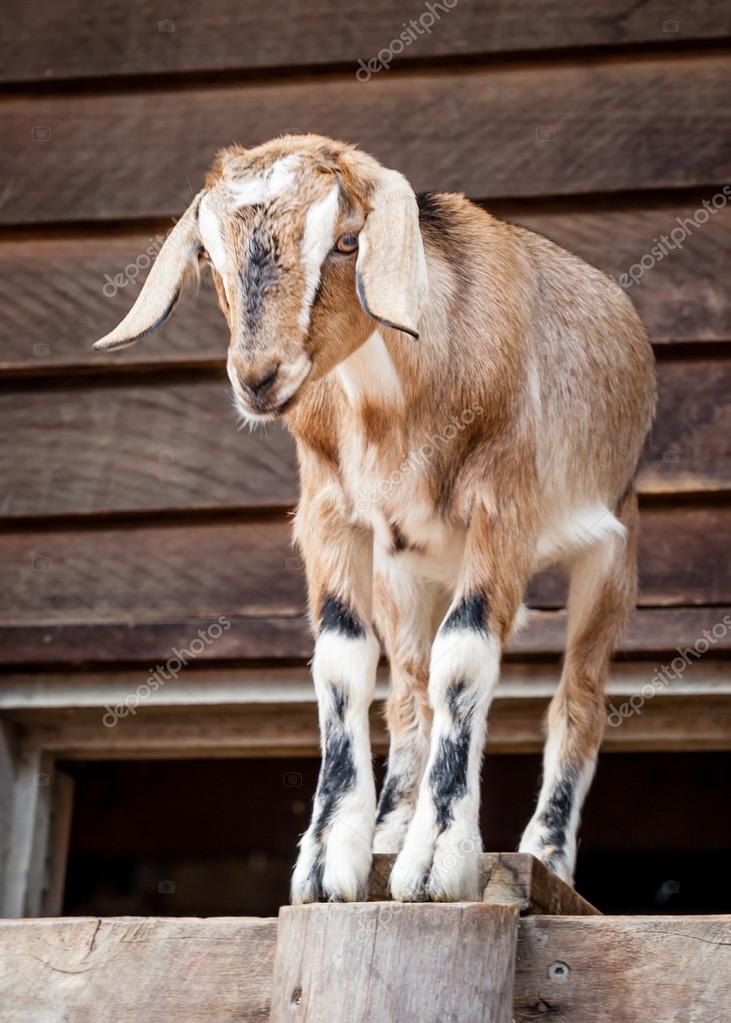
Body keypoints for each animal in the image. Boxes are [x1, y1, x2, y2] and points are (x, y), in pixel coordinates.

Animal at [94, 134, 656, 904]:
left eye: (347, 240)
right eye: (206, 253)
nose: (259, 378)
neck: (393, 406)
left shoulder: (502, 510)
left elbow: (465, 658)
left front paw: (437, 860)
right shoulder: (330, 516)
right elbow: (344, 662)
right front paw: (329, 859)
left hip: (610, 550)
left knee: (579, 692)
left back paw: (547, 851)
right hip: (406, 567)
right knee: (410, 688)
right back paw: (391, 826)